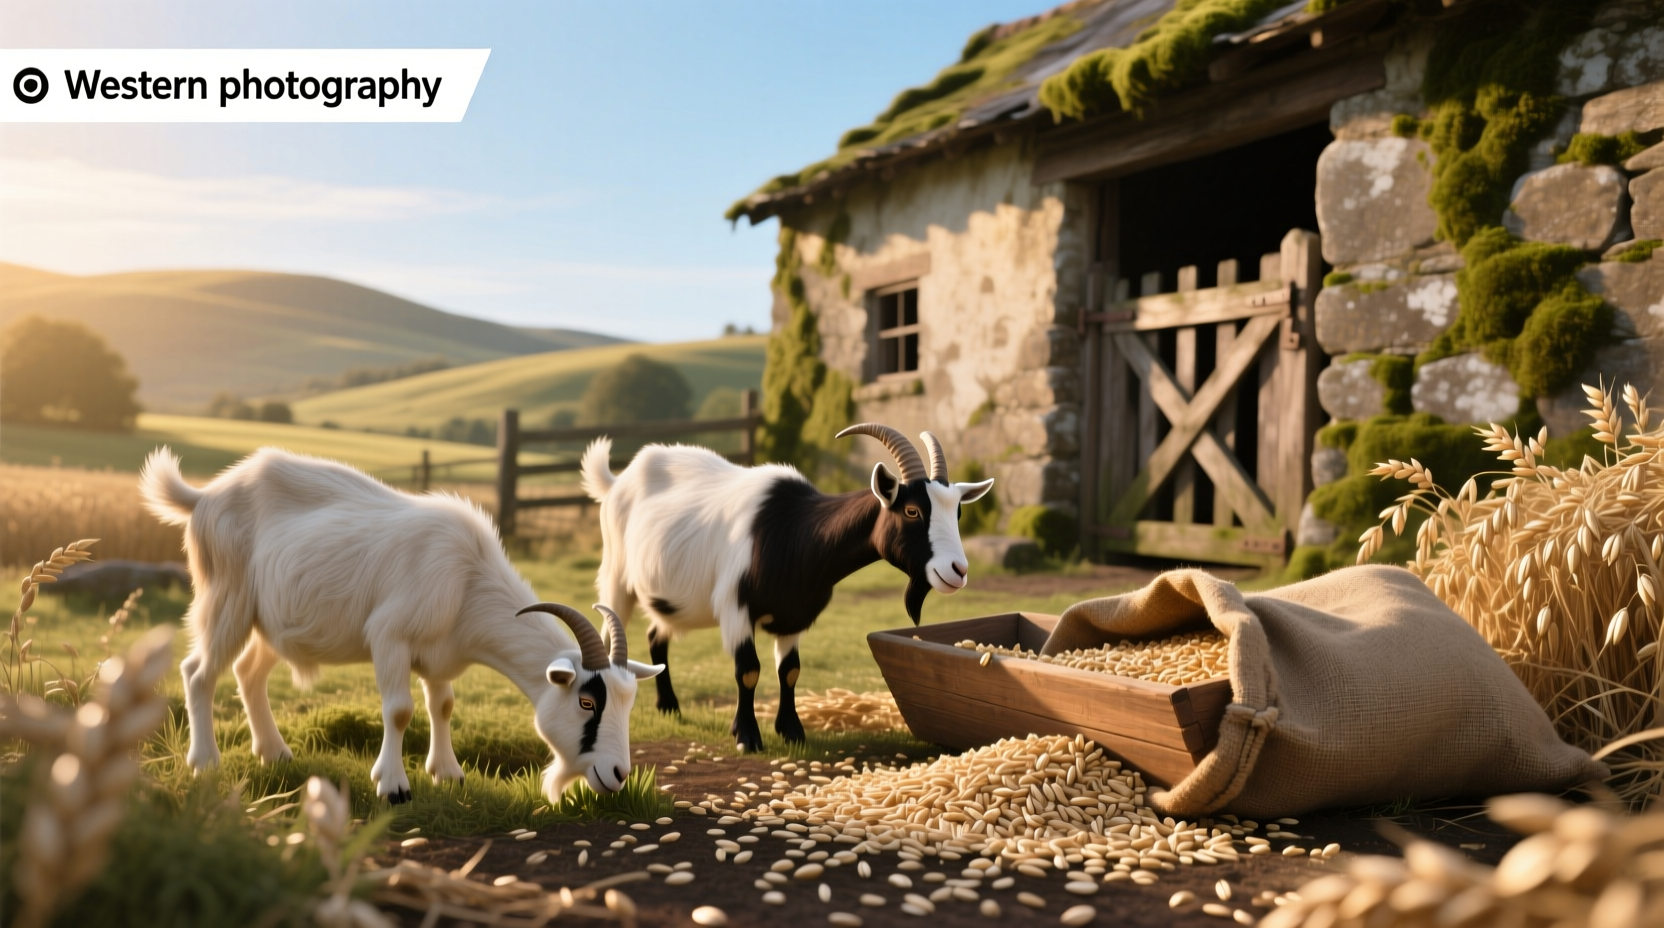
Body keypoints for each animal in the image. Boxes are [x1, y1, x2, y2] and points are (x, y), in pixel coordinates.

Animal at [138, 447, 661, 804]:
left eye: (629, 702)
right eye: (587, 701)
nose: (618, 774)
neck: (469, 579)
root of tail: (203, 497)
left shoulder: (441, 654)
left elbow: (443, 706)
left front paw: (448, 773)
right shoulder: (390, 637)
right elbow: (399, 710)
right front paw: (393, 785)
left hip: (271, 620)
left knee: (248, 672)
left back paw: (274, 752)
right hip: (226, 598)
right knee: (198, 672)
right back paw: (205, 762)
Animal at [581, 423, 993, 752]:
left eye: (957, 511)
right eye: (911, 511)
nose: (958, 570)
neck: (796, 533)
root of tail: (617, 482)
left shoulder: (795, 614)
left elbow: (790, 670)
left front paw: (791, 731)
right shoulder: (735, 609)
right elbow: (748, 670)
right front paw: (747, 736)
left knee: (656, 635)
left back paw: (669, 706)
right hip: (616, 575)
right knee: (608, 631)